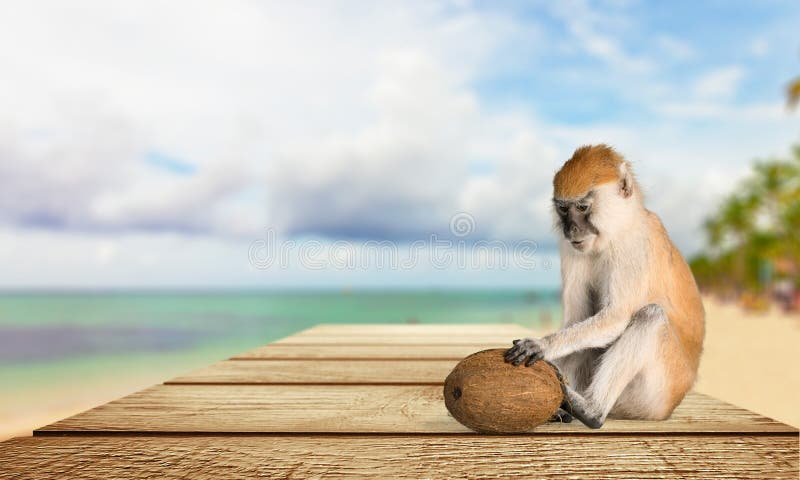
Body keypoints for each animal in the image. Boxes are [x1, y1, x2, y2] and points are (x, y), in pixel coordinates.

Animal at [505, 144, 705, 428]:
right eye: (563, 210)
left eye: (582, 206)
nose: (571, 229)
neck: (619, 226)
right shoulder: (571, 248)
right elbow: (577, 319)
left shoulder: (633, 246)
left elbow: (617, 317)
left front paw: (541, 346)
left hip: (657, 392)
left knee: (651, 316)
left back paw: (590, 410)